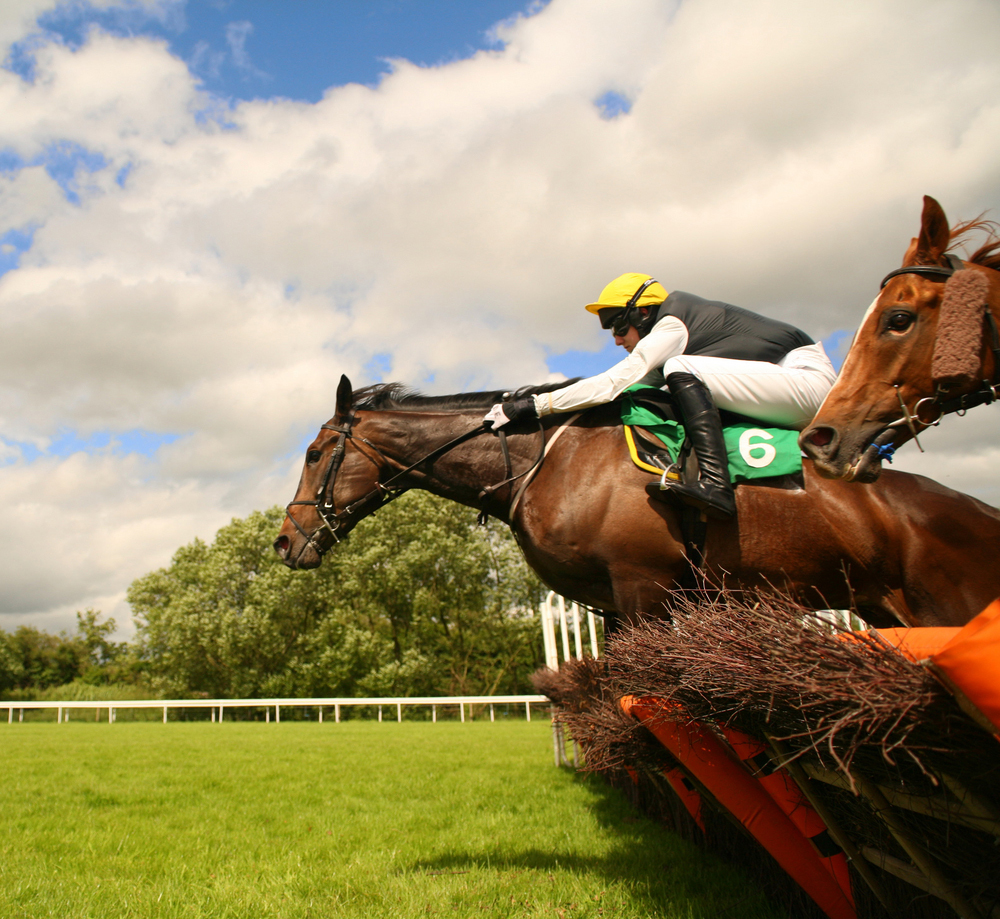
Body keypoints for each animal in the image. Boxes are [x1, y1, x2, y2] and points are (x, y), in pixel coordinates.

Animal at [274, 375, 1000, 630]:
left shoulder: (643, 586)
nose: (284, 540)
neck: (546, 461)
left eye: (312, 452)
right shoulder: (612, 601)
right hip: (885, 607)